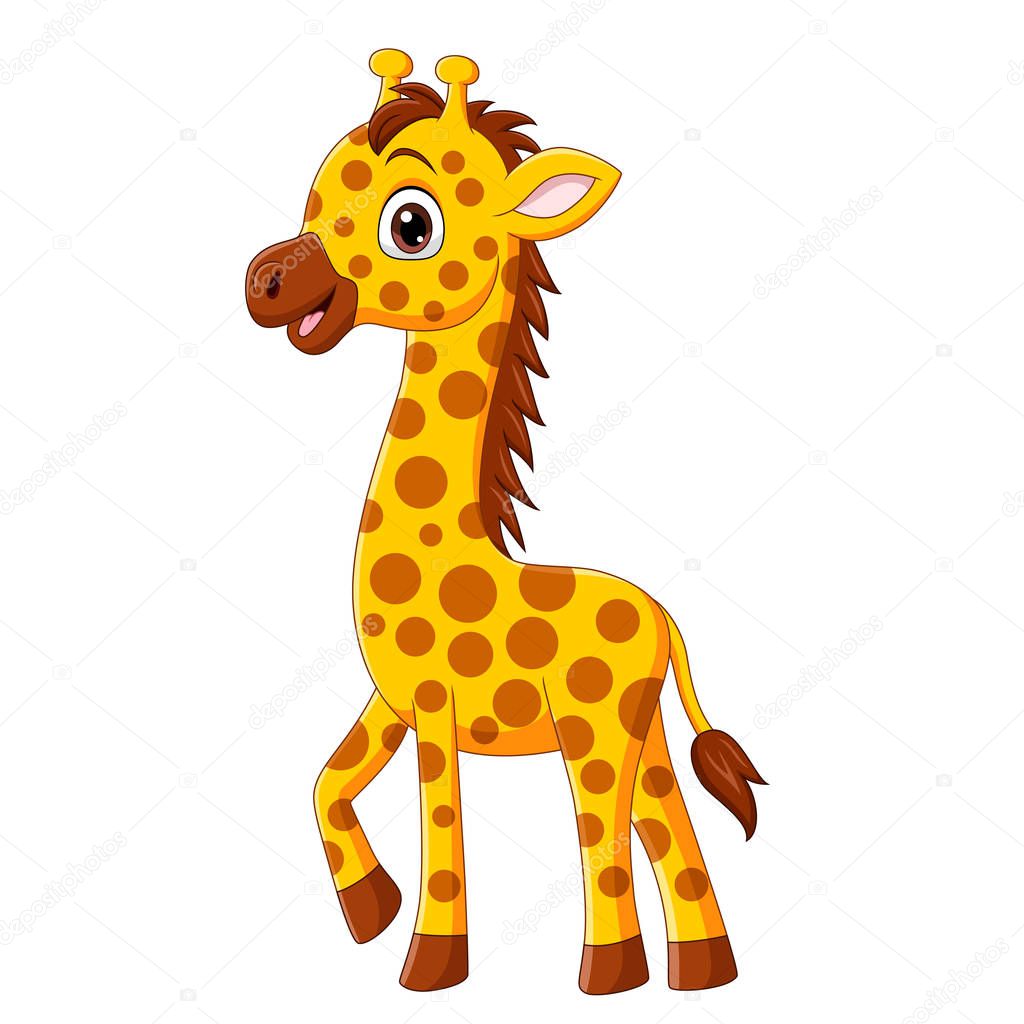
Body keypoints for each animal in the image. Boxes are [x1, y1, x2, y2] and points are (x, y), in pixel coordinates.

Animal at [244, 49, 766, 996]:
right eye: (317, 192)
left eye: (411, 224)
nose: (265, 282)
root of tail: (665, 619)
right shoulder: (391, 700)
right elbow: (325, 783)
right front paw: (371, 913)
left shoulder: (435, 710)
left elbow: (441, 826)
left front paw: (428, 965)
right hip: (644, 731)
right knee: (668, 825)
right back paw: (702, 971)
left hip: (593, 728)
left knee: (604, 832)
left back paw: (610, 976)